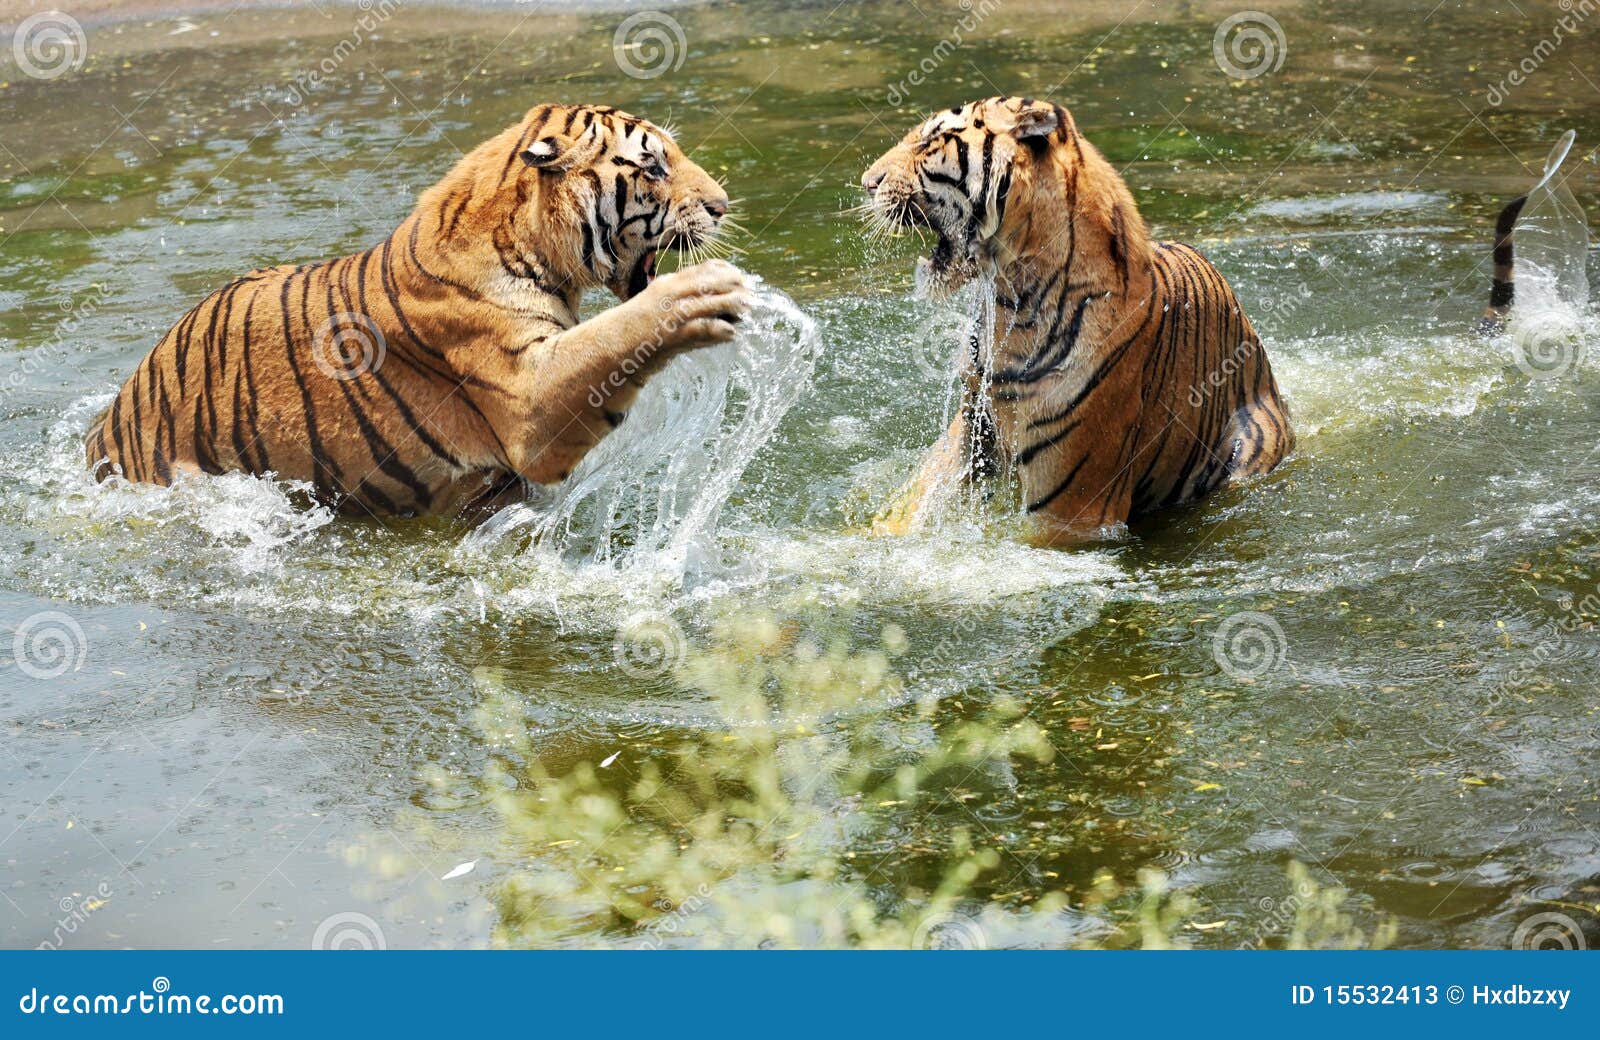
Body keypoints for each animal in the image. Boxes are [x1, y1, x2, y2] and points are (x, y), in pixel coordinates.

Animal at [84, 103, 751, 518]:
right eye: (653, 165)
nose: (723, 205)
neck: (528, 239)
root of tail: (106, 425)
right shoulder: (528, 400)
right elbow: (611, 336)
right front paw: (706, 294)